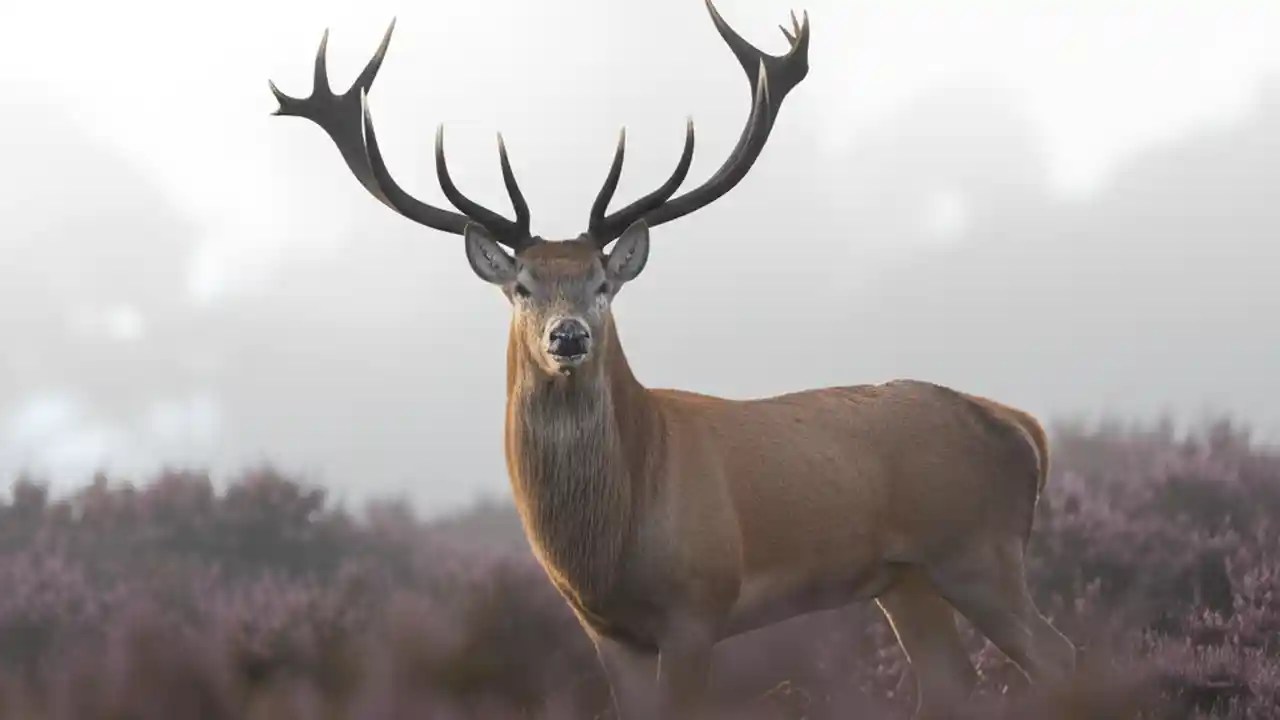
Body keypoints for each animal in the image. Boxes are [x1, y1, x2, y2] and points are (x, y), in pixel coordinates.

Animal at [269, 3, 1078, 718]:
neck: (611, 543)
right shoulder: (607, 632)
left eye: (602, 282)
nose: (568, 337)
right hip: (906, 580)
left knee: (1063, 655)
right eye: (522, 286)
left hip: (980, 552)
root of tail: (1022, 429)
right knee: (951, 683)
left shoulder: (697, 606)